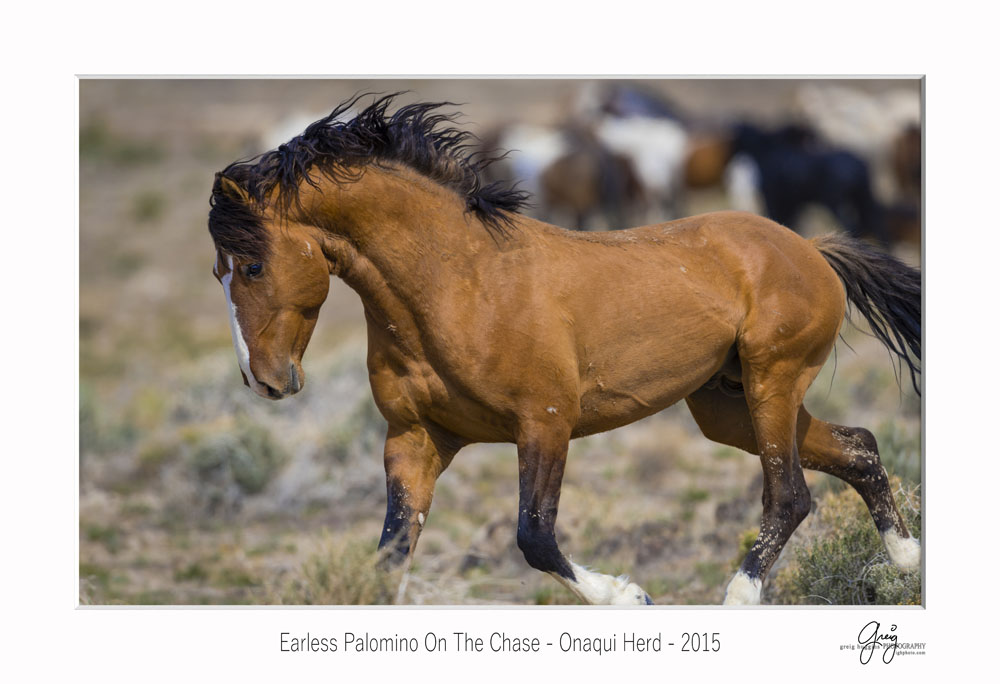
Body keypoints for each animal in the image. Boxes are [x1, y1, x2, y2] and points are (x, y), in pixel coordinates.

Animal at [208, 94, 922, 605]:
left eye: (251, 265)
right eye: (218, 270)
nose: (263, 380)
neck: (459, 282)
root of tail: (812, 248)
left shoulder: (546, 423)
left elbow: (534, 537)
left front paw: (629, 597)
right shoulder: (413, 440)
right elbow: (390, 559)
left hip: (772, 382)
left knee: (790, 494)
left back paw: (742, 598)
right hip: (728, 406)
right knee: (858, 449)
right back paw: (908, 566)